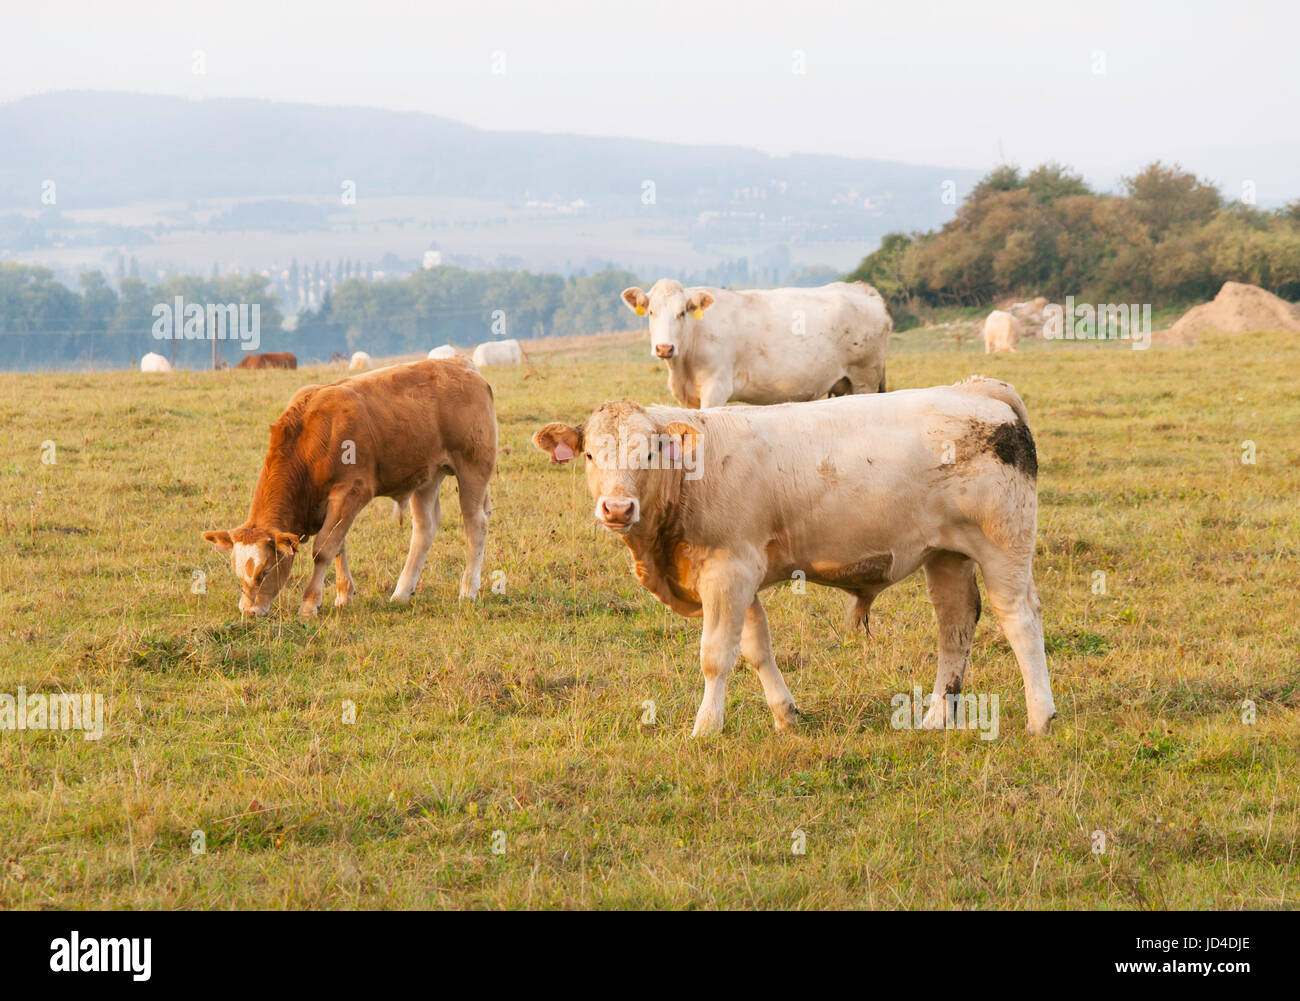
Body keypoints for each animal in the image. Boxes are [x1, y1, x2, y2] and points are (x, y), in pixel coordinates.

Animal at [202, 359, 496, 618]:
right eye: (237, 574)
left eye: (263, 572)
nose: (249, 612)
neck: (312, 435)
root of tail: (463, 365)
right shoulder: (329, 505)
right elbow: (337, 546)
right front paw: (344, 595)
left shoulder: (350, 493)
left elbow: (324, 549)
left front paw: (309, 604)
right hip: (427, 476)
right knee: (425, 529)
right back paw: (401, 592)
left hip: (473, 468)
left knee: (475, 524)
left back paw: (468, 589)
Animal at [532, 377, 1056, 738]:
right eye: (590, 456)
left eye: (648, 454)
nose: (617, 508)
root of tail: (975, 390)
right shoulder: (740, 576)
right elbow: (756, 647)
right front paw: (786, 716)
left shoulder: (728, 571)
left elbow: (716, 655)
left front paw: (705, 728)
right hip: (946, 554)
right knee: (955, 627)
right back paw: (935, 718)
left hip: (1004, 547)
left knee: (1021, 620)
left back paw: (1040, 717)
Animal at [619, 279, 891, 408]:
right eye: (651, 312)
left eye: (682, 313)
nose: (665, 348)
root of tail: (862, 289)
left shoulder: (716, 388)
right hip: (843, 384)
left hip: (865, 379)